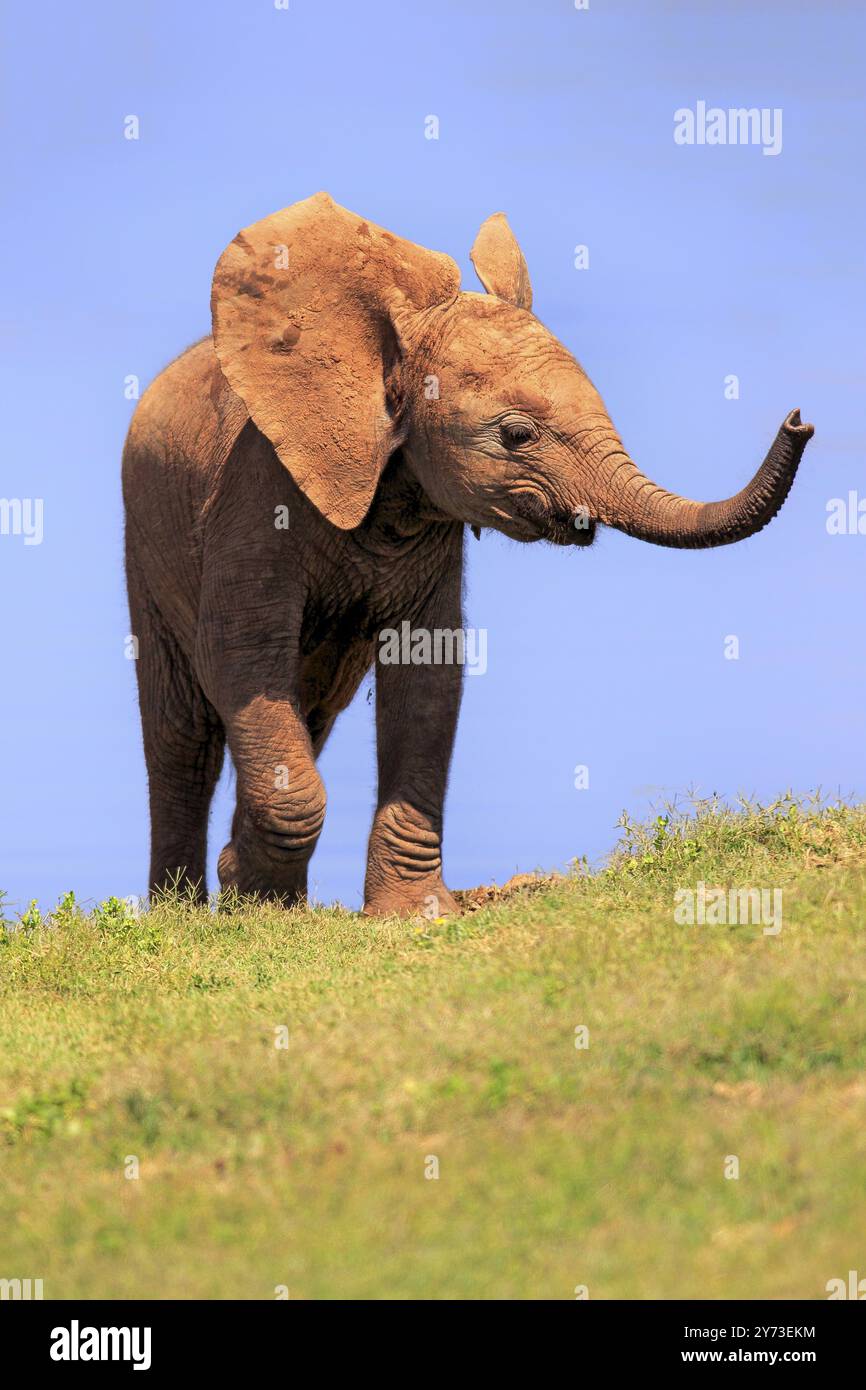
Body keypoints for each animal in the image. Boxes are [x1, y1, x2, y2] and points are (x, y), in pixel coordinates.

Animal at [122, 192, 813, 916]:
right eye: (517, 435)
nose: (799, 420)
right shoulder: (256, 489)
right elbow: (242, 654)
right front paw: (258, 902)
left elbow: (429, 677)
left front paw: (409, 916)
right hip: (144, 537)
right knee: (184, 733)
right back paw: (182, 912)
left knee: (309, 708)